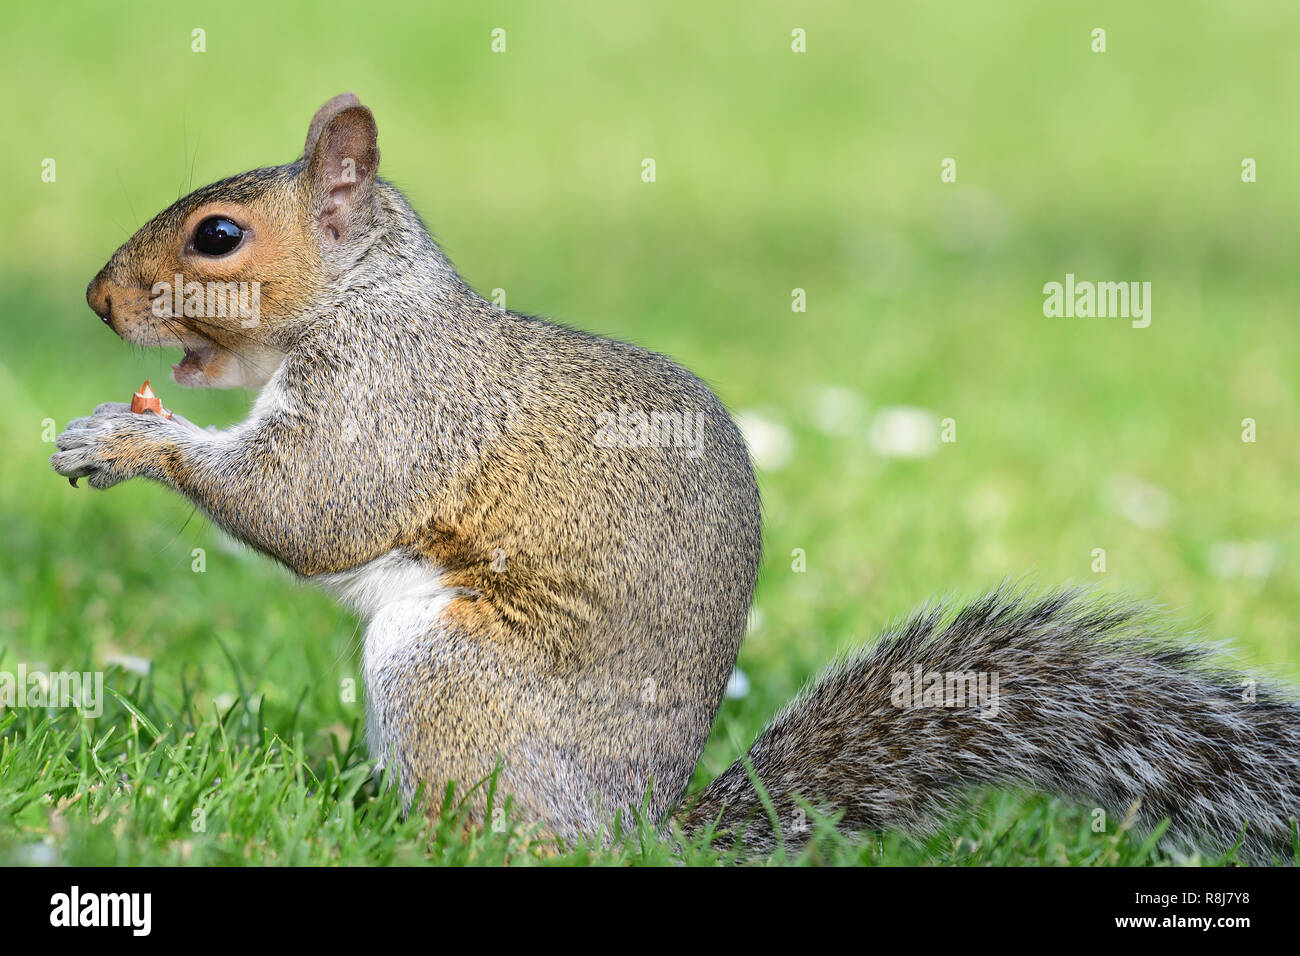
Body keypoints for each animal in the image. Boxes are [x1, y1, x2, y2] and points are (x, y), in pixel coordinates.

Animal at [52, 94, 1300, 861]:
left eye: (218, 236)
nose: (98, 302)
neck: (370, 299)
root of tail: (634, 831)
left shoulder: (395, 399)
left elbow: (311, 507)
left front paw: (128, 442)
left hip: (446, 678)